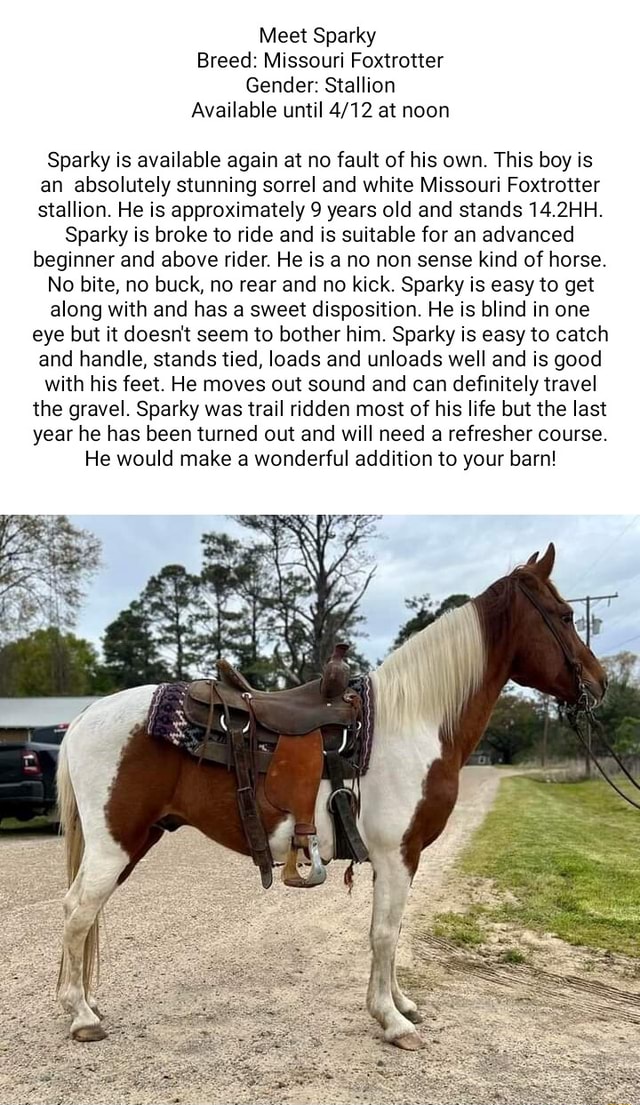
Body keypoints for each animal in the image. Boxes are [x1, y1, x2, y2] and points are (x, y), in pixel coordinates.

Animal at [56, 543, 607, 1048]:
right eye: (564, 616)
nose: (599, 684)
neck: (413, 723)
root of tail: (84, 717)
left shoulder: (398, 859)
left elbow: (392, 931)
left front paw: (401, 1003)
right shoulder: (397, 854)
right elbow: (384, 933)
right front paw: (392, 1021)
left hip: (135, 840)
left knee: (81, 909)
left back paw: (85, 1003)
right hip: (116, 844)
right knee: (78, 911)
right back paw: (81, 1015)